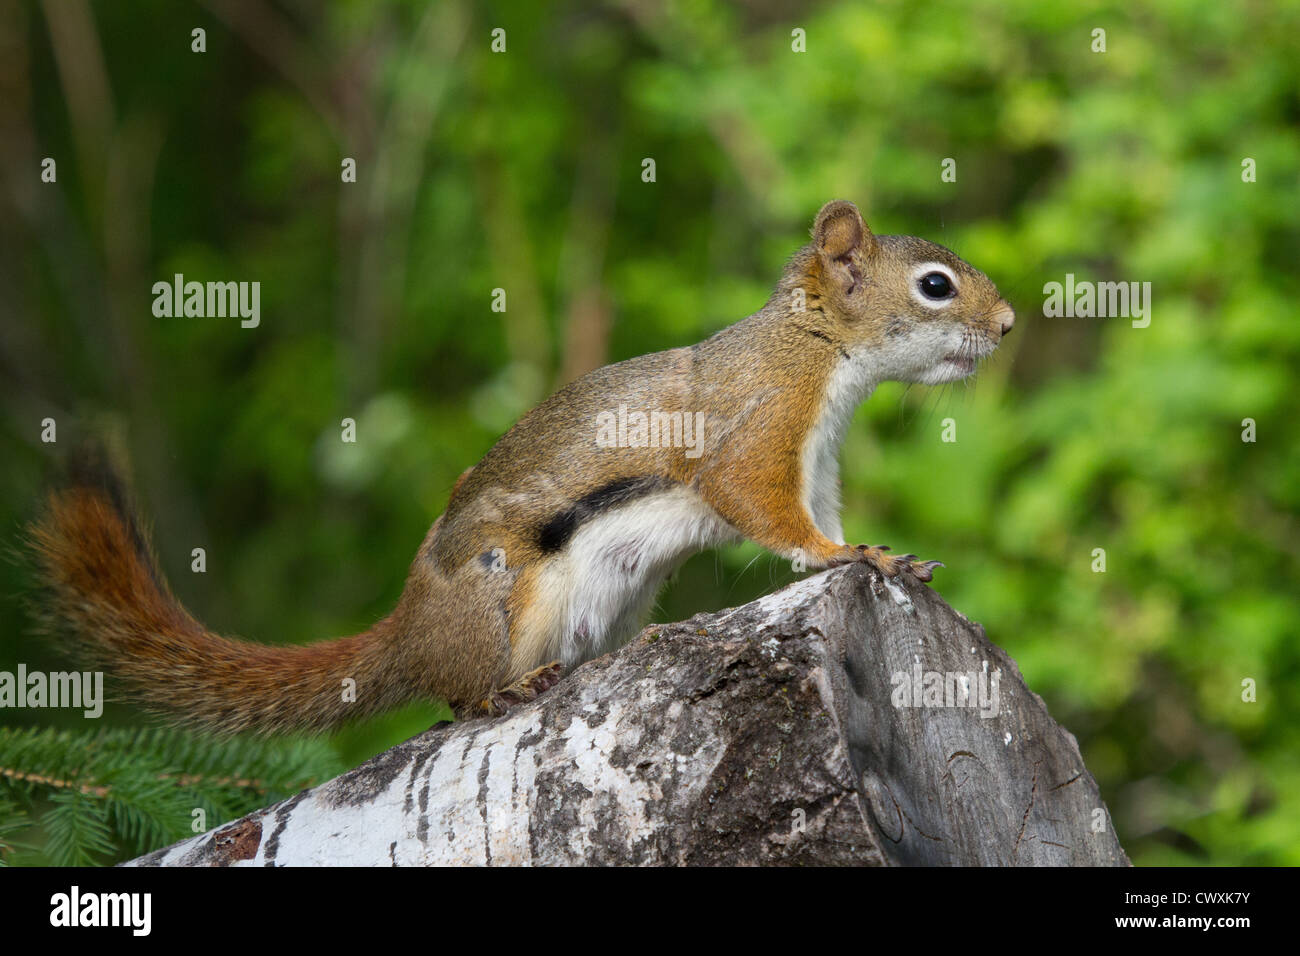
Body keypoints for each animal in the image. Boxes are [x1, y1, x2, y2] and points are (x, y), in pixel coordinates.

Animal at [31, 200, 1014, 734]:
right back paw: (510, 688)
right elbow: (765, 511)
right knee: (456, 698)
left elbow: (821, 517)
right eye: (935, 286)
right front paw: (852, 559)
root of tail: (407, 631)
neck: (816, 352)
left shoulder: (817, 460)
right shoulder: (761, 428)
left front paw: (881, 554)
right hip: (500, 598)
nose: (1007, 326)